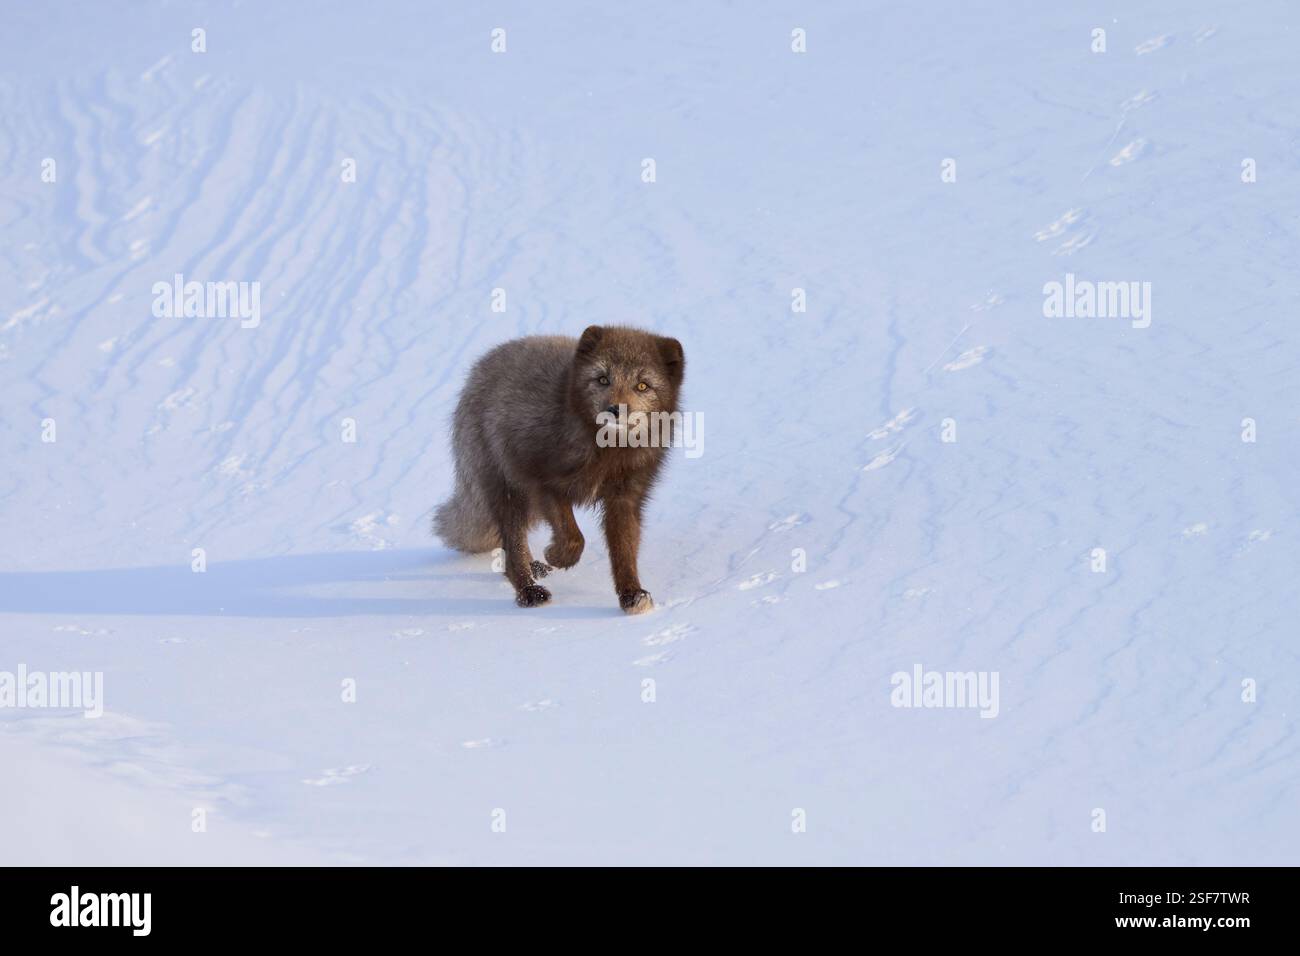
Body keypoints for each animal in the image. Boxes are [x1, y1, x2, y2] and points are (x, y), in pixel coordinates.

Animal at [433, 325, 685, 613]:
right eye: (602, 379)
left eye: (642, 385)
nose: (615, 410)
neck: (606, 452)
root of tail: (477, 370)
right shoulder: (541, 480)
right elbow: (574, 536)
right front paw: (558, 556)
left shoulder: (625, 496)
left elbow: (624, 549)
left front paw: (631, 594)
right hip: (507, 489)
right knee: (512, 547)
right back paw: (529, 590)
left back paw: (534, 569)